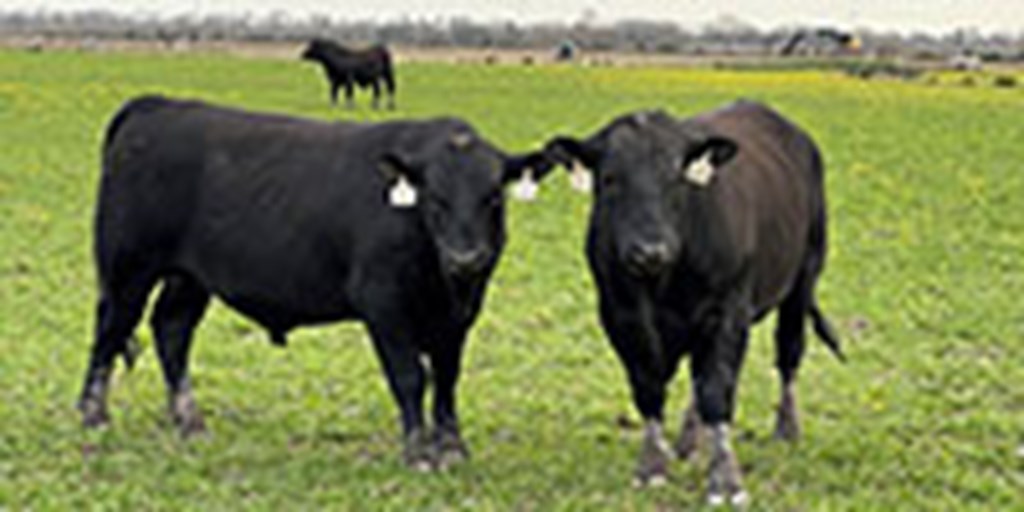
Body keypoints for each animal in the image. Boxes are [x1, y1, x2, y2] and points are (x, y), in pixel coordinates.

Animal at [77, 95, 554, 470]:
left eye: (493, 197)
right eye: (435, 199)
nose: (465, 258)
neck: (441, 279)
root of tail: (157, 106)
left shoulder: (459, 315)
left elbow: (448, 378)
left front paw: (453, 448)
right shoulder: (385, 306)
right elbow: (411, 377)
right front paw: (419, 453)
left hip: (189, 278)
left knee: (171, 330)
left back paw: (189, 421)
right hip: (128, 269)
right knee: (110, 329)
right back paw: (93, 414)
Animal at [543, 101, 844, 505]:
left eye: (677, 177)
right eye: (609, 178)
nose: (649, 250)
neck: (665, 278)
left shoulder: (728, 312)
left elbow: (717, 390)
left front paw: (727, 480)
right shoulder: (621, 315)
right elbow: (649, 386)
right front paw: (652, 465)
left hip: (803, 277)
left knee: (788, 352)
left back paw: (787, 427)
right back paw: (689, 439)